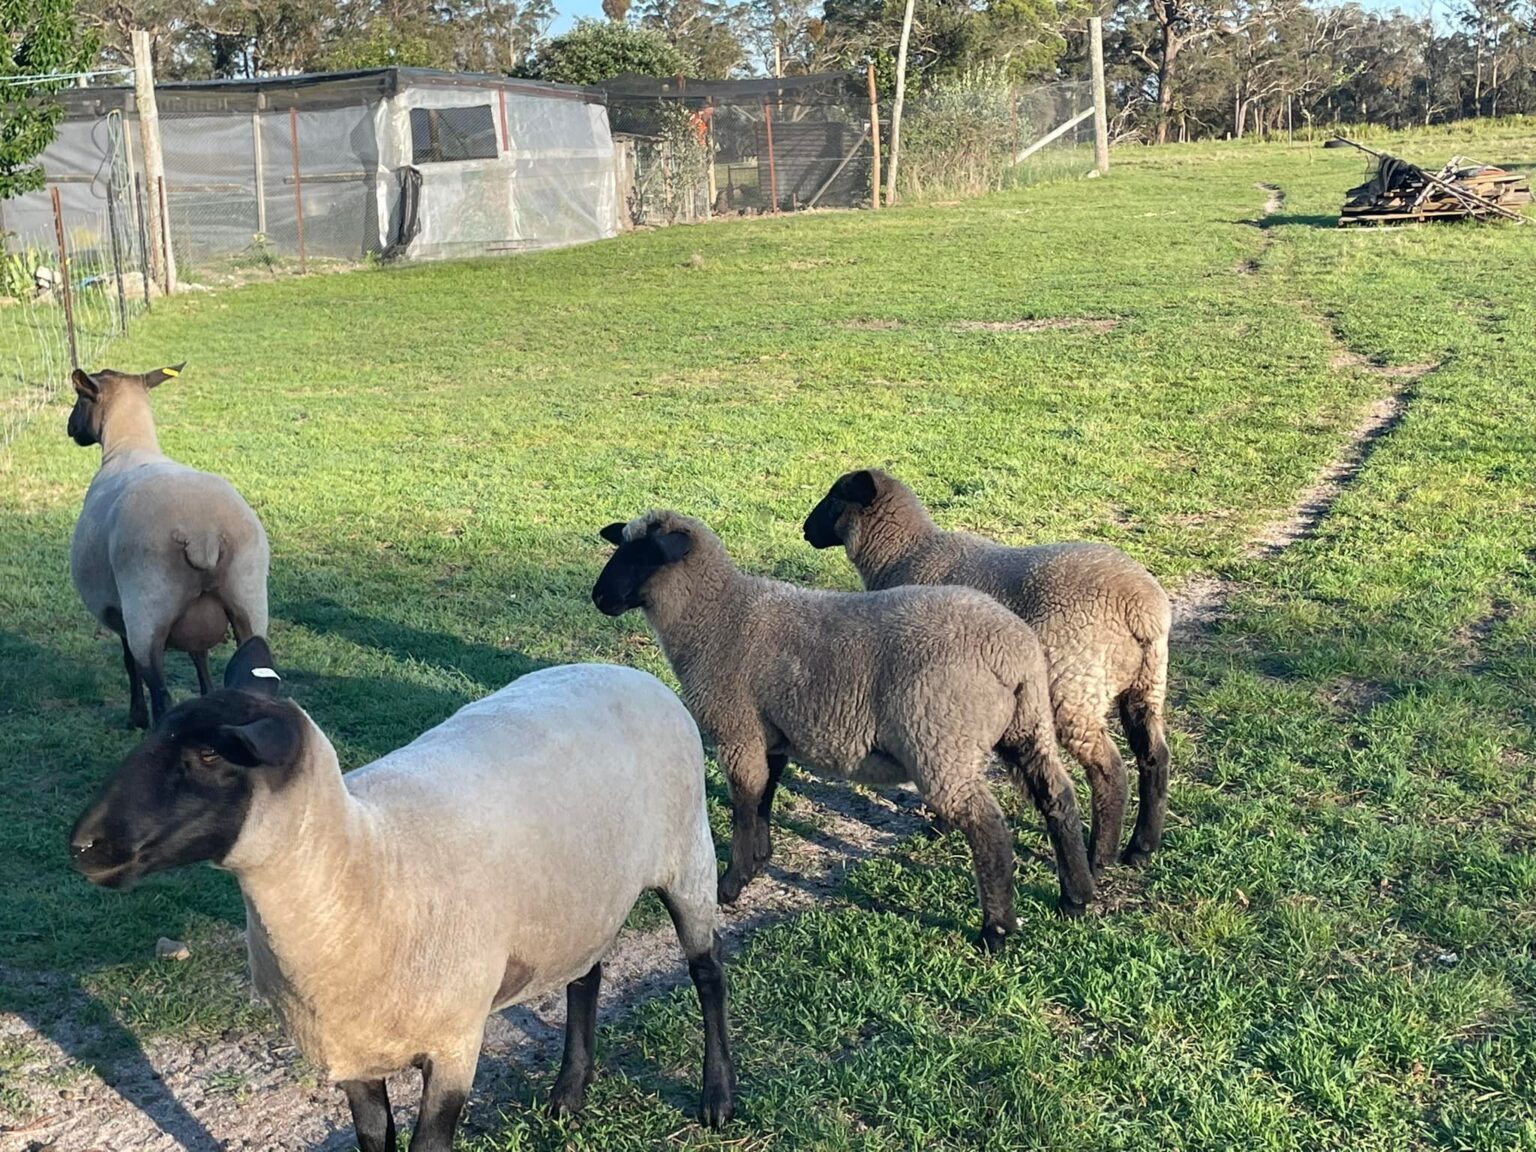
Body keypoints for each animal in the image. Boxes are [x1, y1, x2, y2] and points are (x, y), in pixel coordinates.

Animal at [67, 364, 270, 727]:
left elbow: (128, 662)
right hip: (249, 599)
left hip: (147, 608)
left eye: (79, 399)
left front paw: (135, 716)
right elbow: (200, 658)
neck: (129, 445)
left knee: (160, 693)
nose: (70, 429)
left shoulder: (118, 608)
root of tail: (203, 534)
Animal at [68, 637, 734, 1151]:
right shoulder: (352, 1051)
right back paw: (569, 1092)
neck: (363, 867)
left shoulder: (454, 1045)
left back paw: (718, 1098)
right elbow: (373, 1139)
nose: (82, 845)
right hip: (576, 898)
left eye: (210, 754)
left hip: (688, 857)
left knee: (707, 974)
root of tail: (626, 670)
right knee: (584, 976)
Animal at [592, 510, 1096, 951]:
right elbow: (764, 797)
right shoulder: (771, 734)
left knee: (989, 830)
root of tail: (1011, 651)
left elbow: (744, 805)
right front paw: (758, 863)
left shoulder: (737, 729)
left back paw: (997, 930)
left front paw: (731, 885)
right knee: (1056, 795)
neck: (719, 619)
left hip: (941, 739)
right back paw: (1077, 896)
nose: (598, 598)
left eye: (645, 555)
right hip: (1026, 726)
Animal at [803, 468, 1172, 876]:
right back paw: (1141, 849)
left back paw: (1099, 859)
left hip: (1073, 684)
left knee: (1109, 769)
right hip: (1146, 683)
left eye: (836, 496)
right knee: (1154, 755)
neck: (903, 554)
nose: (805, 529)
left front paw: (940, 825)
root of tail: (1141, 609)